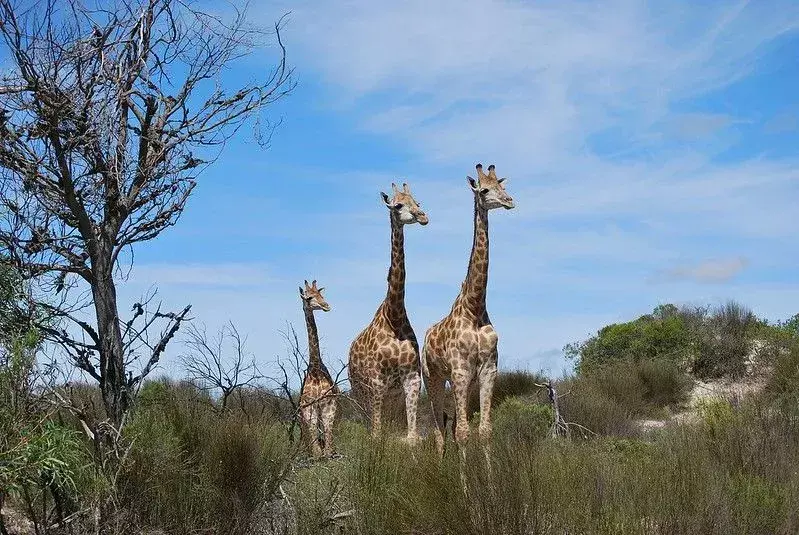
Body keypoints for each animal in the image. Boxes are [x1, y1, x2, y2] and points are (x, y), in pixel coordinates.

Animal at [346, 182, 428, 442]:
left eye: (417, 202)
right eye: (398, 205)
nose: (423, 216)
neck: (394, 316)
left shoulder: (411, 378)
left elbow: (411, 438)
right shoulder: (376, 381)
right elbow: (376, 436)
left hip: (391, 397)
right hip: (360, 392)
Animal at [422, 163, 516, 456]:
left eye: (502, 185)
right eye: (484, 190)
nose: (510, 201)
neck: (474, 308)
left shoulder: (487, 369)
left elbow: (484, 431)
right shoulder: (460, 369)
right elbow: (463, 433)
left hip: (457, 380)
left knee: (449, 425)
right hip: (434, 377)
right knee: (439, 430)